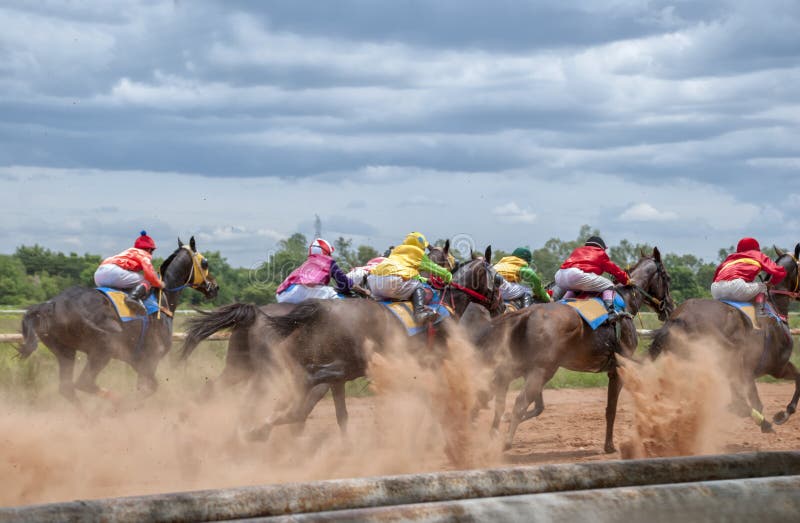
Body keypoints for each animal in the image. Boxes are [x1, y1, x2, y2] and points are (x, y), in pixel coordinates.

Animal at [19, 237, 218, 405]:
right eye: (205, 263)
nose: (215, 287)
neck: (162, 298)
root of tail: (50, 305)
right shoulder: (150, 358)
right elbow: (150, 388)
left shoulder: (138, 361)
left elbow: (146, 387)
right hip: (103, 347)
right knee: (83, 383)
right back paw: (115, 401)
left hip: (64, 351)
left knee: (67, 388)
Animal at [477, 248, 674, 453]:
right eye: (667, 277)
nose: (670, 306)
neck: (624, 302)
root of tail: (529, 312)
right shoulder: (619, 368)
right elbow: (611, 409)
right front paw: (609, 446)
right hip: (542, 369)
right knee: (518, 401)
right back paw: (505, 442)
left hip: (519, 365)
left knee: (499, 395)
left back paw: (492, 432)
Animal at [648, 244, 800, 433]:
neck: (774, 306)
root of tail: (679, 319)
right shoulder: (776, 366)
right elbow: (796, 378)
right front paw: (783, 414)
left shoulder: (753, 372)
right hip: (727, 354)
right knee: (739, 401)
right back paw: (761, 421)